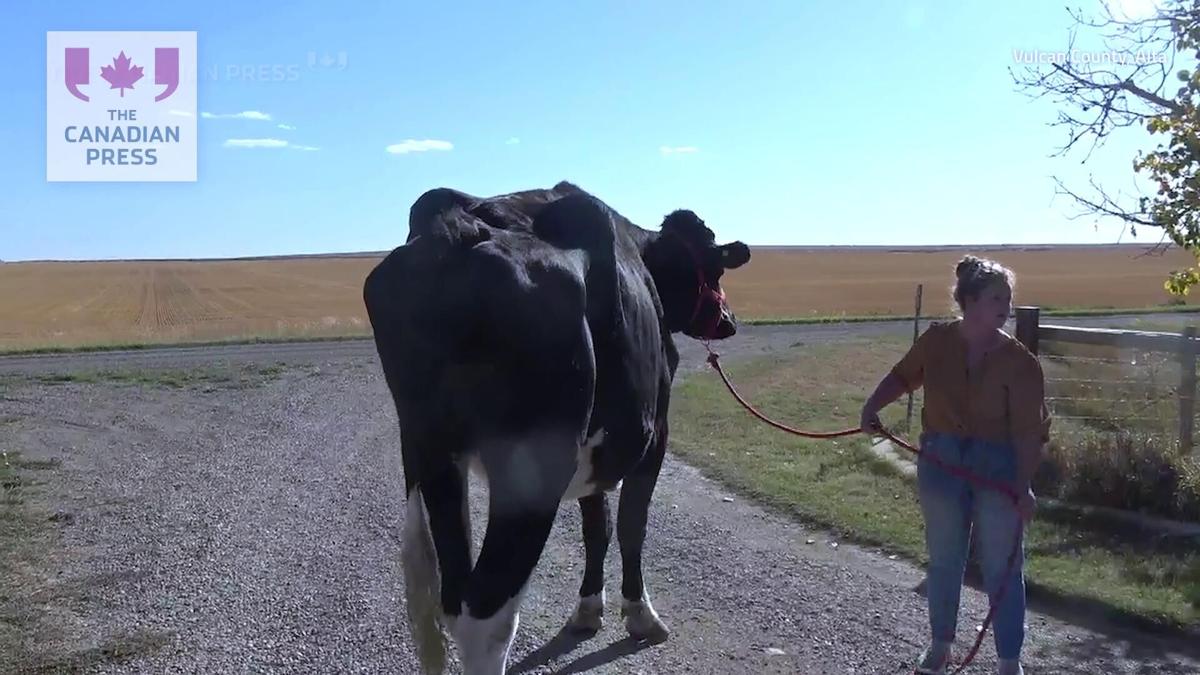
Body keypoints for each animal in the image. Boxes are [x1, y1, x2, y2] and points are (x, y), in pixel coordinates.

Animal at [362, 180, 750, 675]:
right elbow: (631, 526)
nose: (729, 321)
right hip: (532, 469)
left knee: (451, 597)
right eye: (714, 268)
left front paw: (588, 610)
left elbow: (596, 527)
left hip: (430, 452)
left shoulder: (596, 451)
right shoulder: (654, 434)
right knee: (486, 613)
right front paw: (641, 615)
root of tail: (452, 230)